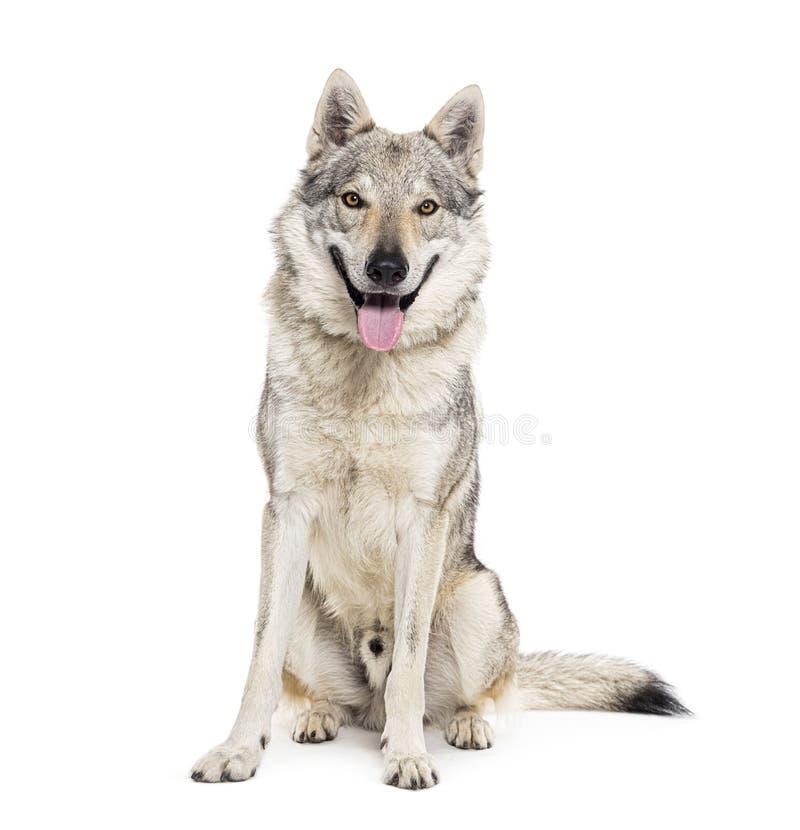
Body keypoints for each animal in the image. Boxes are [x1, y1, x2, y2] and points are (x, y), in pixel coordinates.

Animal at [190, 69, 687, 790]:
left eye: (425, 208)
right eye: (354, 200)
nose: (387, 270)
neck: (367, 384)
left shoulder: (422, 517)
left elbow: (410, 662)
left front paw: (406, 757)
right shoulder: (285, 510)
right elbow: (259, 659)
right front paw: (238, 750)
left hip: (479, 597)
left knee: (471, 691)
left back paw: (463, 726)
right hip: (307, 603)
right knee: (321, 692)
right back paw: (320, 717)